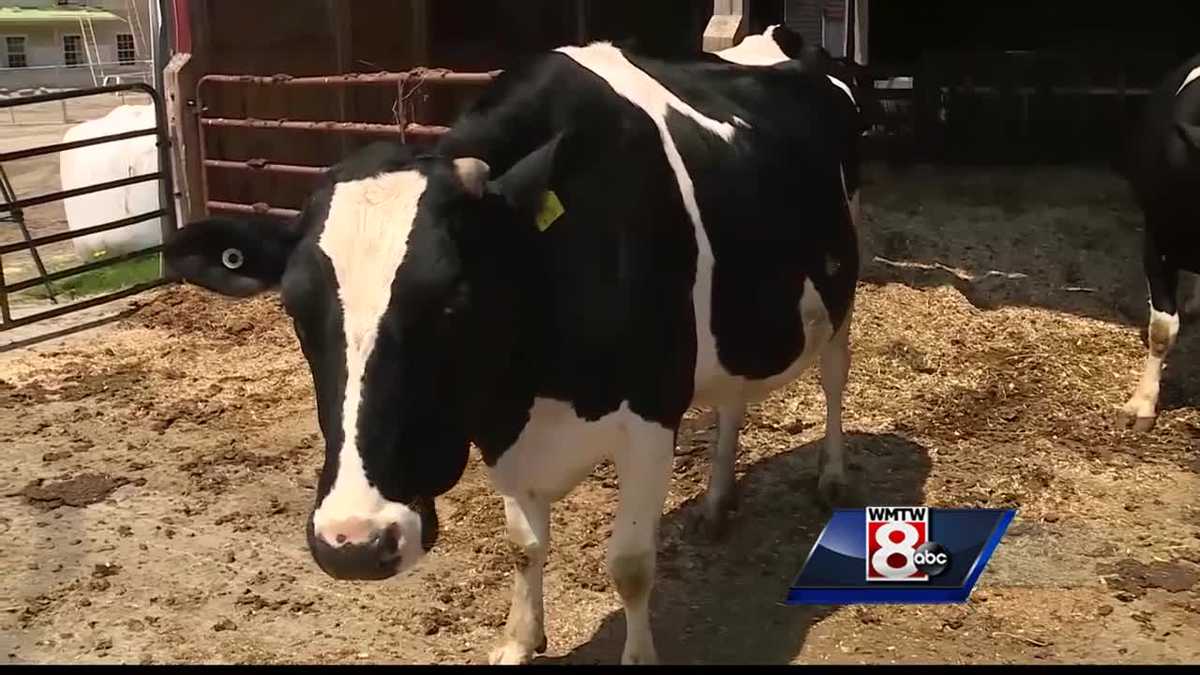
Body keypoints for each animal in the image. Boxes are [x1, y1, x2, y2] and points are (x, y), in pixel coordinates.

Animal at [163, 37, 862, 665]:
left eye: (453, 301)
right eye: (294, 308)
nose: (353, 543)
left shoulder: (651, 413)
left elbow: (630, 564)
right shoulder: (501, 424)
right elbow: (523, 544)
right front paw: (520, 640)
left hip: (841, 293)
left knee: (833, 379)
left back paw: (831, 476)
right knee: (732, 400)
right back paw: (717, 503)